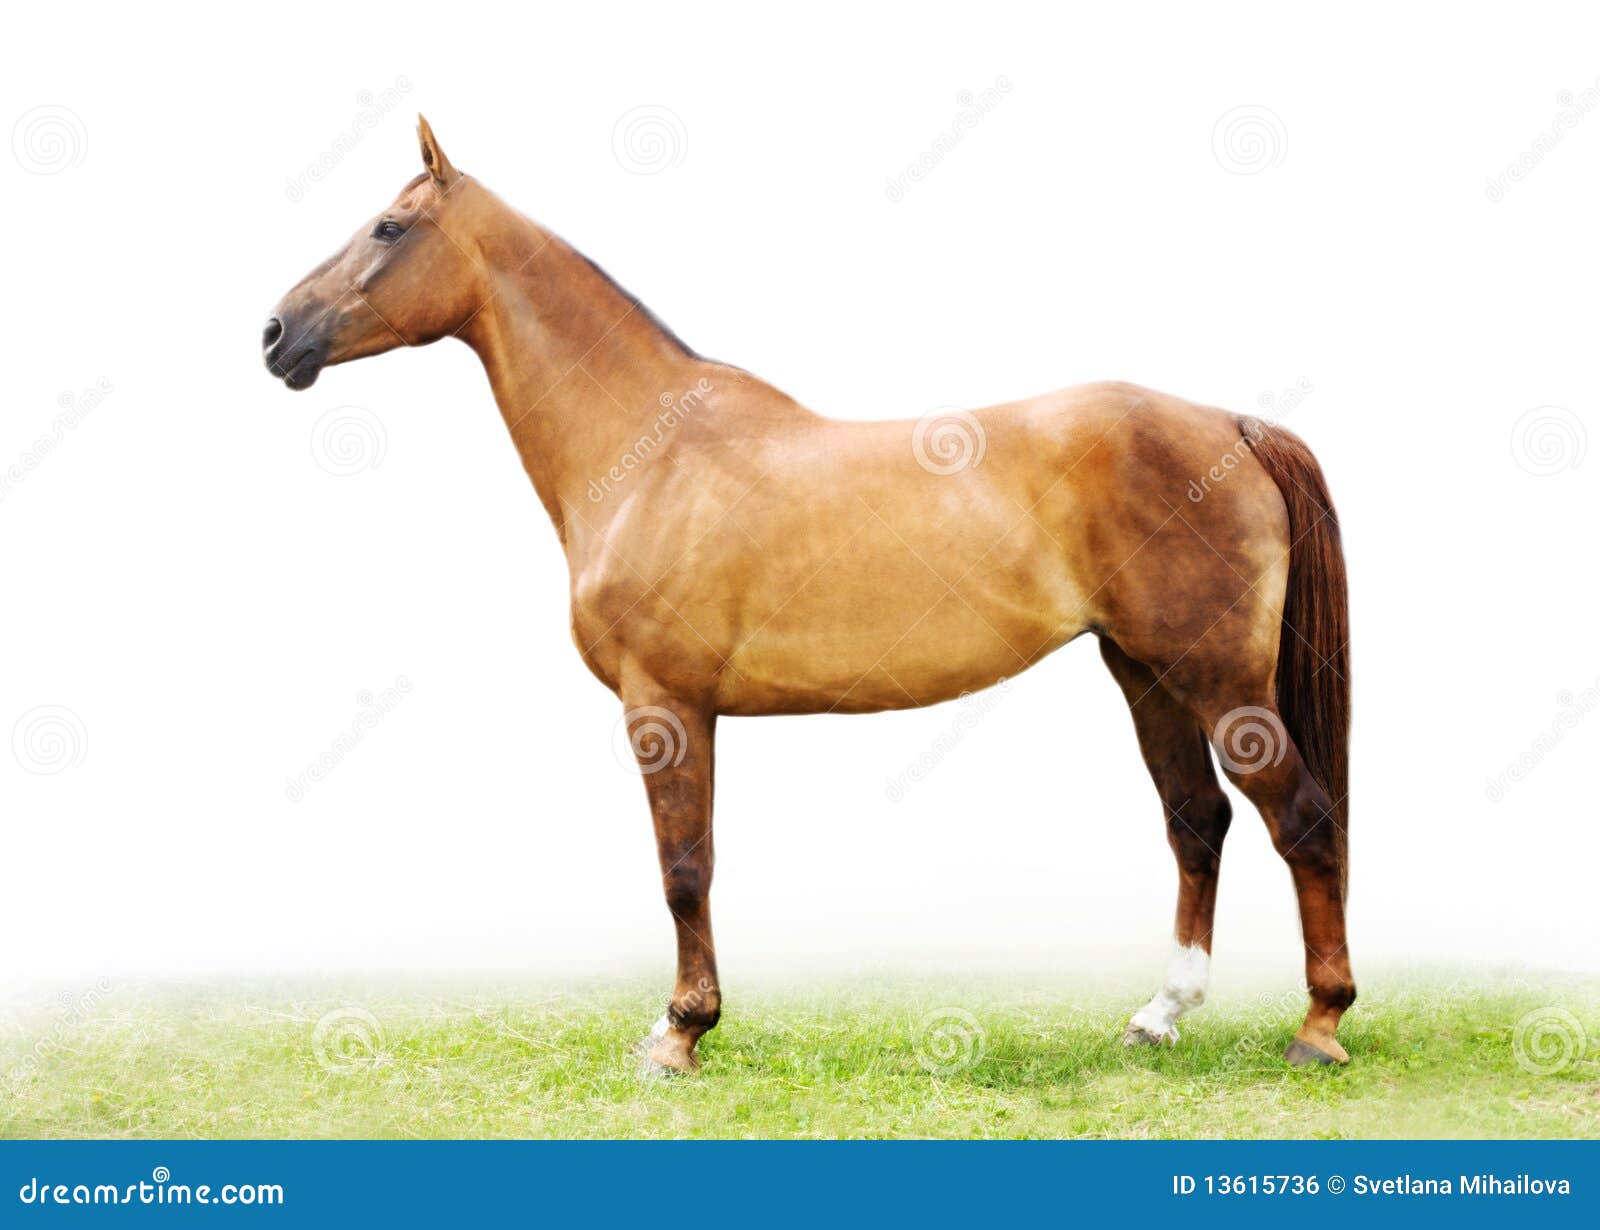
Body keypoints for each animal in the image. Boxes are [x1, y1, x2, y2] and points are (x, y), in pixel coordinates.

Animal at [263, 117, 1354, 1074]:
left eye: (388, 228)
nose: (276, 334)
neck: (647, 449)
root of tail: (1231, 425)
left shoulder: (664, 705)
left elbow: (684, 870)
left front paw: (681, 1035)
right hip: (1145, 673)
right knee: (1196, 823)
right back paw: (1158, 1017)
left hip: (1217, 681)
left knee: (1299, 819)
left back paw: (1319, 1027)